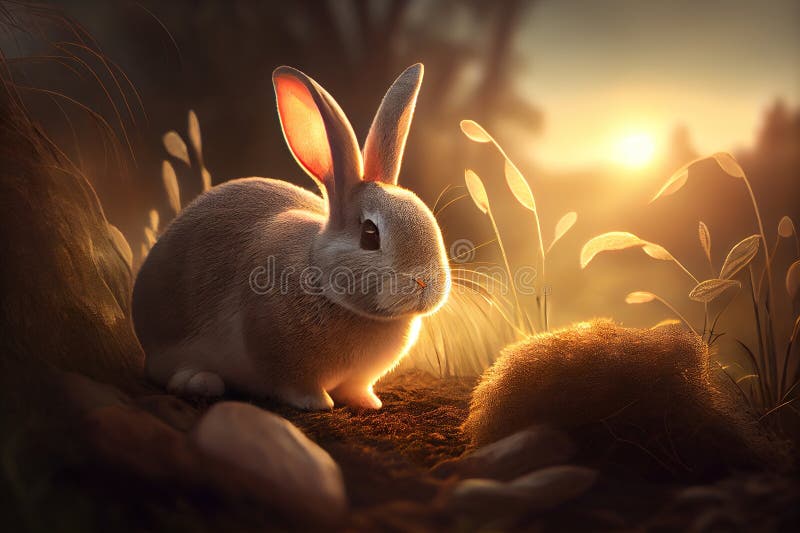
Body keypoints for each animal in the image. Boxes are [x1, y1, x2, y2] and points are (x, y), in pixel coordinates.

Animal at [132, 63, 451, 410]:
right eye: (370, 234)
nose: (425, 282)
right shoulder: (282, 362)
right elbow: (297, 387)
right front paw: (318, 404)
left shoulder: (358, 377)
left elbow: (356, 388)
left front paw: (368, 403)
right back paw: (200, 382)